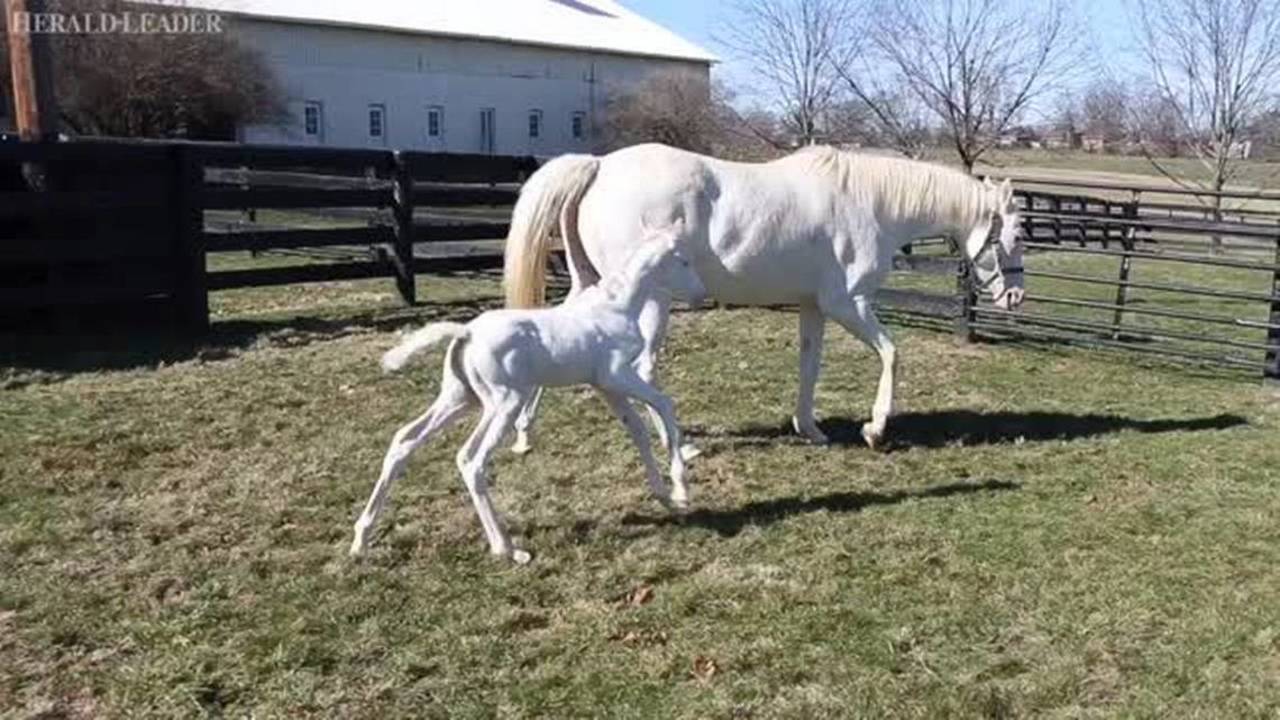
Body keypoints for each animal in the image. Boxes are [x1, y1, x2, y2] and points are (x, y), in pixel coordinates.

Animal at [350, 220, 706, 564]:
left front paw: (667, 497)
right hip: (504, 402)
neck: (616, 306)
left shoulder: (606, 386)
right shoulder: (618, 375)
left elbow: (638, 431)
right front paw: (682, 487)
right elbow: (664, 403)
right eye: (684, 261)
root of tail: (466, 334)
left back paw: (361, 539)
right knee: (471, 460)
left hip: (460, 399)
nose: (700, 294)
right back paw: (507, 549)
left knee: (404, 440)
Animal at [502, 144, 1025, 454]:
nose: (1016, 295)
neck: (869, 204)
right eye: (1016, 234)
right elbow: (892, 354)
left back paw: (524, 434)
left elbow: (810, 367)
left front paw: (810, 429)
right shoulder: (848, 305)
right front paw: (875, 431)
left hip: (590, 286)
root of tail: (599, 166)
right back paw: (679, 445)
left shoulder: (814, 307)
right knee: (644, 368)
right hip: (647, 302)